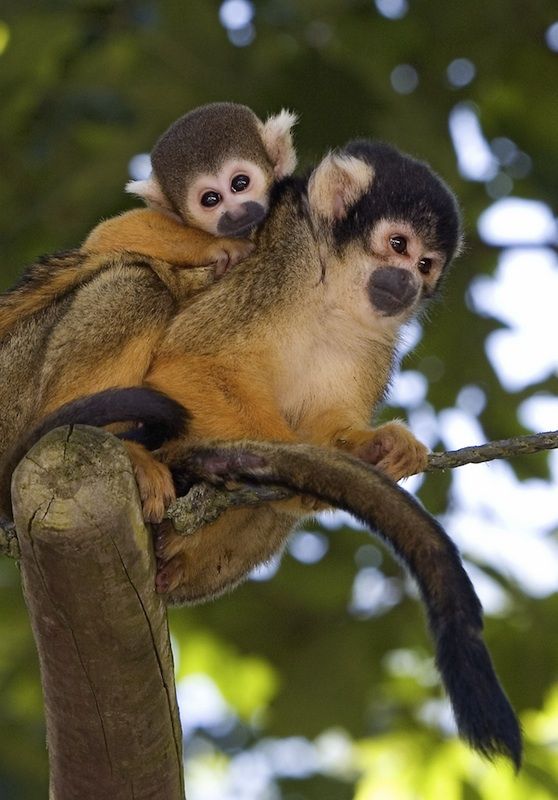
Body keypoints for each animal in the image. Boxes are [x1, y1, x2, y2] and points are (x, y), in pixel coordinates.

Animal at [0, 141, 522, 766]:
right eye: (398, 245)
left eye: (427, 265)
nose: (406, 284)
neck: (330, 292)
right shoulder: (278, 264)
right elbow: (191, 361)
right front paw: (282, 452)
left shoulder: (375, 339)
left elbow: (327, 425)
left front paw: (377, 448)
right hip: (14, 388)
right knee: (134, 282)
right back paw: (133, 454)